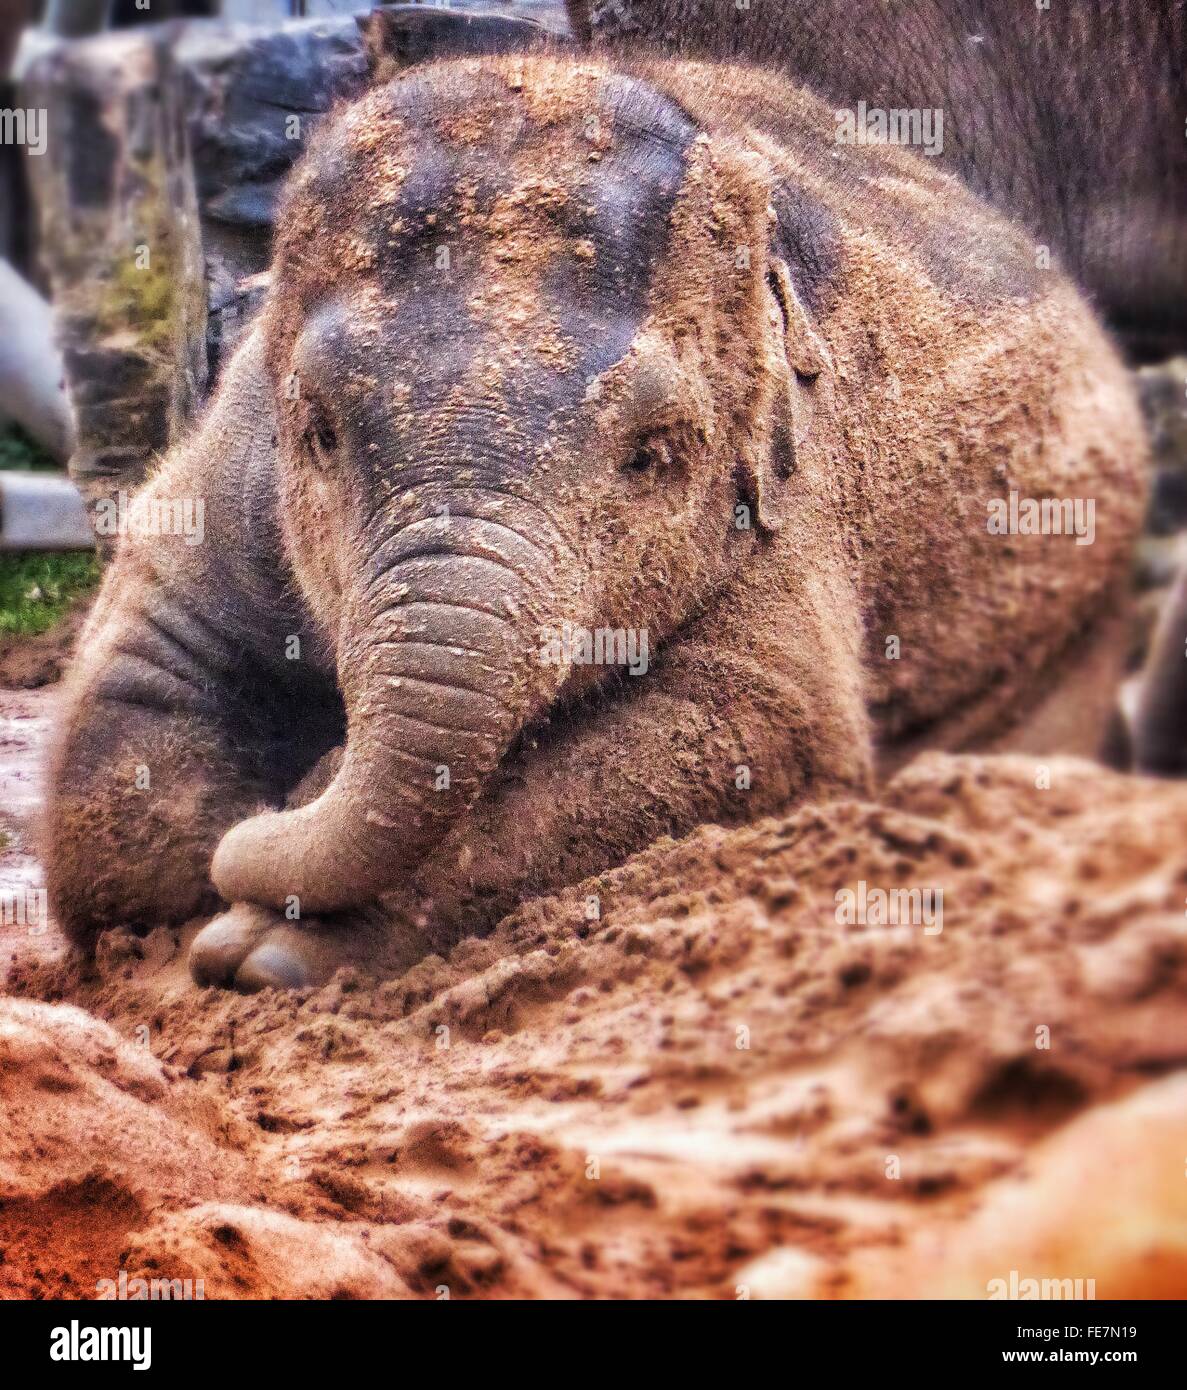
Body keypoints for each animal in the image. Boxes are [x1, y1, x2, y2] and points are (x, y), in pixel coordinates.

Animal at [45, 52, 1147, 991]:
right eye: (315, 430)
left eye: (654, 453)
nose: (290, 805)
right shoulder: (227, 465)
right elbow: (124, 740)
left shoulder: (791, 493)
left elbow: (753, 716)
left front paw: (262, 948)